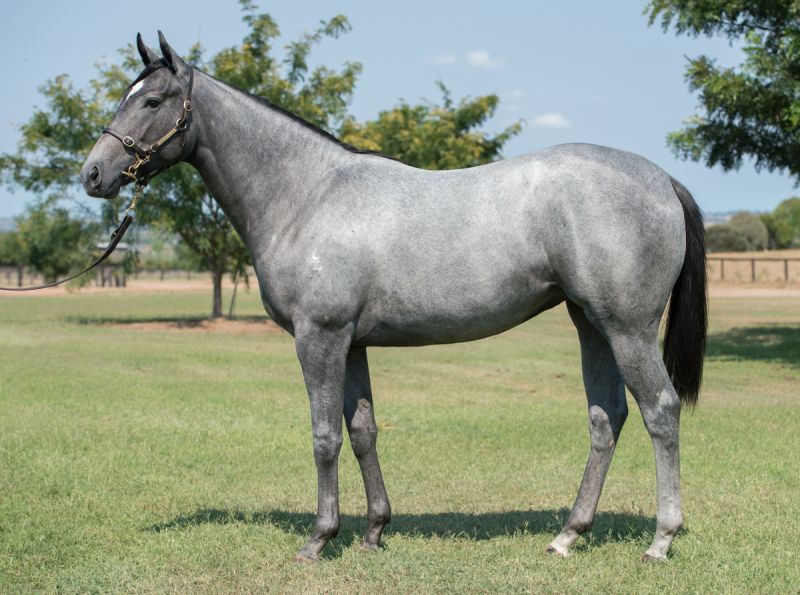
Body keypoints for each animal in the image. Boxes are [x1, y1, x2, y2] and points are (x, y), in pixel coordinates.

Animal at [80, 32, 706, 562]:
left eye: (153, 100)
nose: (92, 174)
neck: (307, 194)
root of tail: (661, 179)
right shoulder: (351, 344)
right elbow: (363, 432)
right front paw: (375, 531)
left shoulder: (319, 338)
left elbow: (325, 436)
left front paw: (319, 538)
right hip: (590, 324)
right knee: (607, 418)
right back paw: (567, 536)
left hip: (627, 329)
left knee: (660, 411)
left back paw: (661, 540)